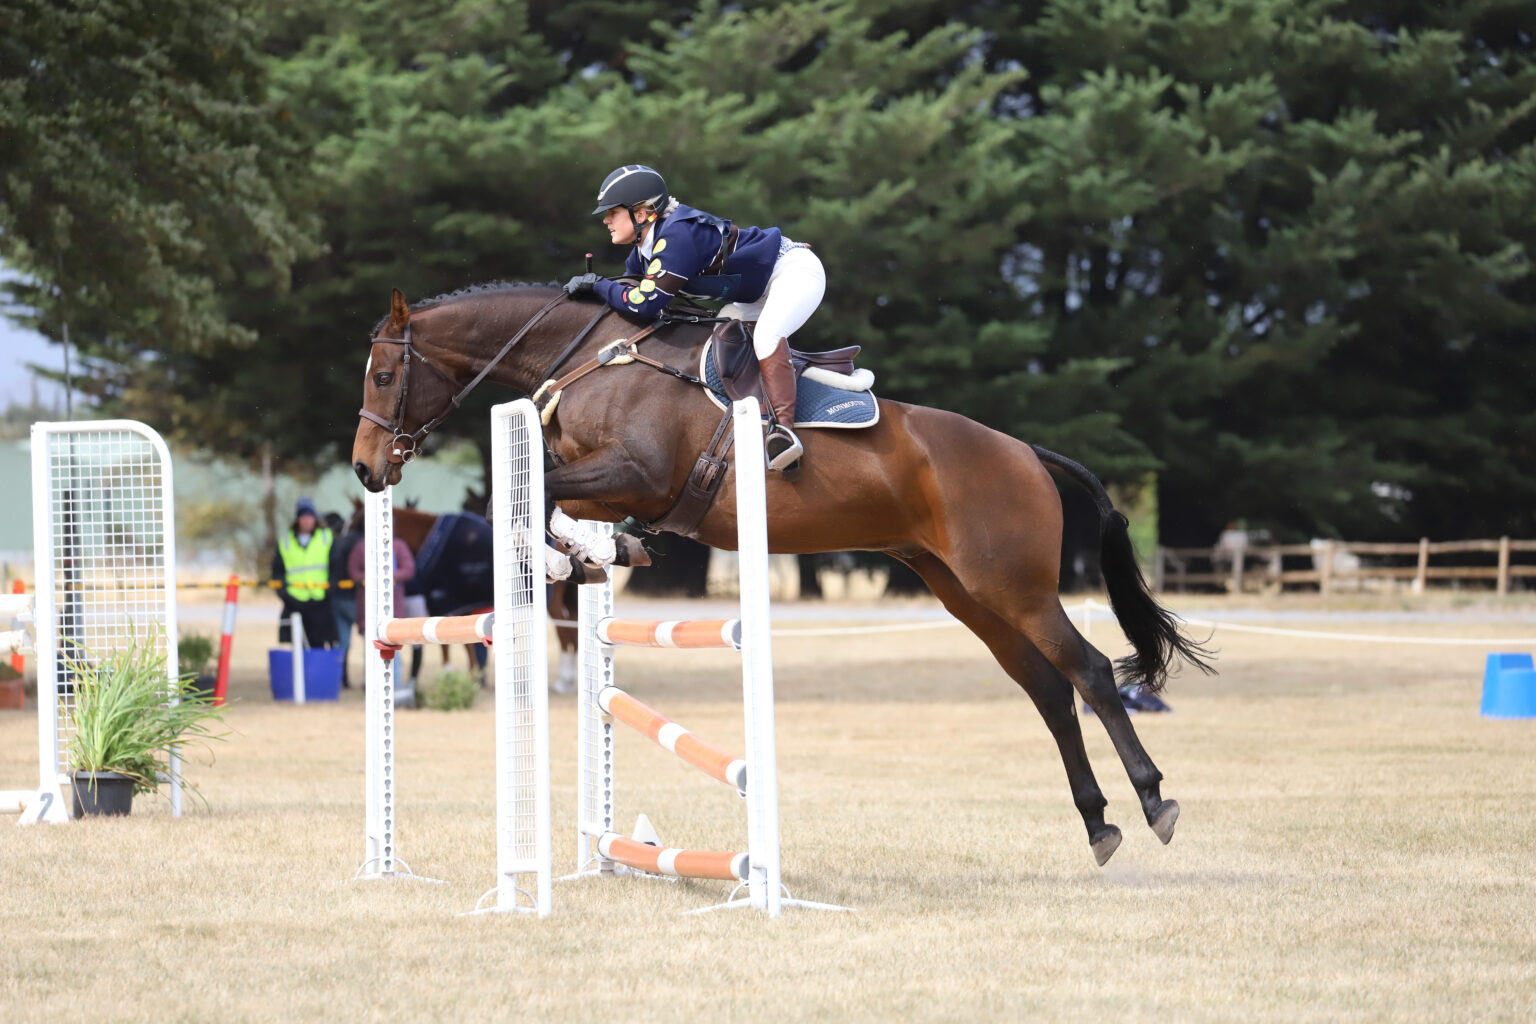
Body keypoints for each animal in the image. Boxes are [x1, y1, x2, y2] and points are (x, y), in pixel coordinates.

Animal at [351, 283, 1213, 866]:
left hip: (1016, 588)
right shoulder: (615, 483)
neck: (591, 358)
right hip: (965, 594)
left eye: (384, 377)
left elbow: (535, 501)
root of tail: (1025, 453)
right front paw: (601, 552)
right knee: (1048, 692)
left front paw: (581, 553)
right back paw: (1098, 822)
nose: (365, 470)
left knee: (1091, 672)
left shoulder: (638, 472)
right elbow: (548, 505)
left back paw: (1153, 800)